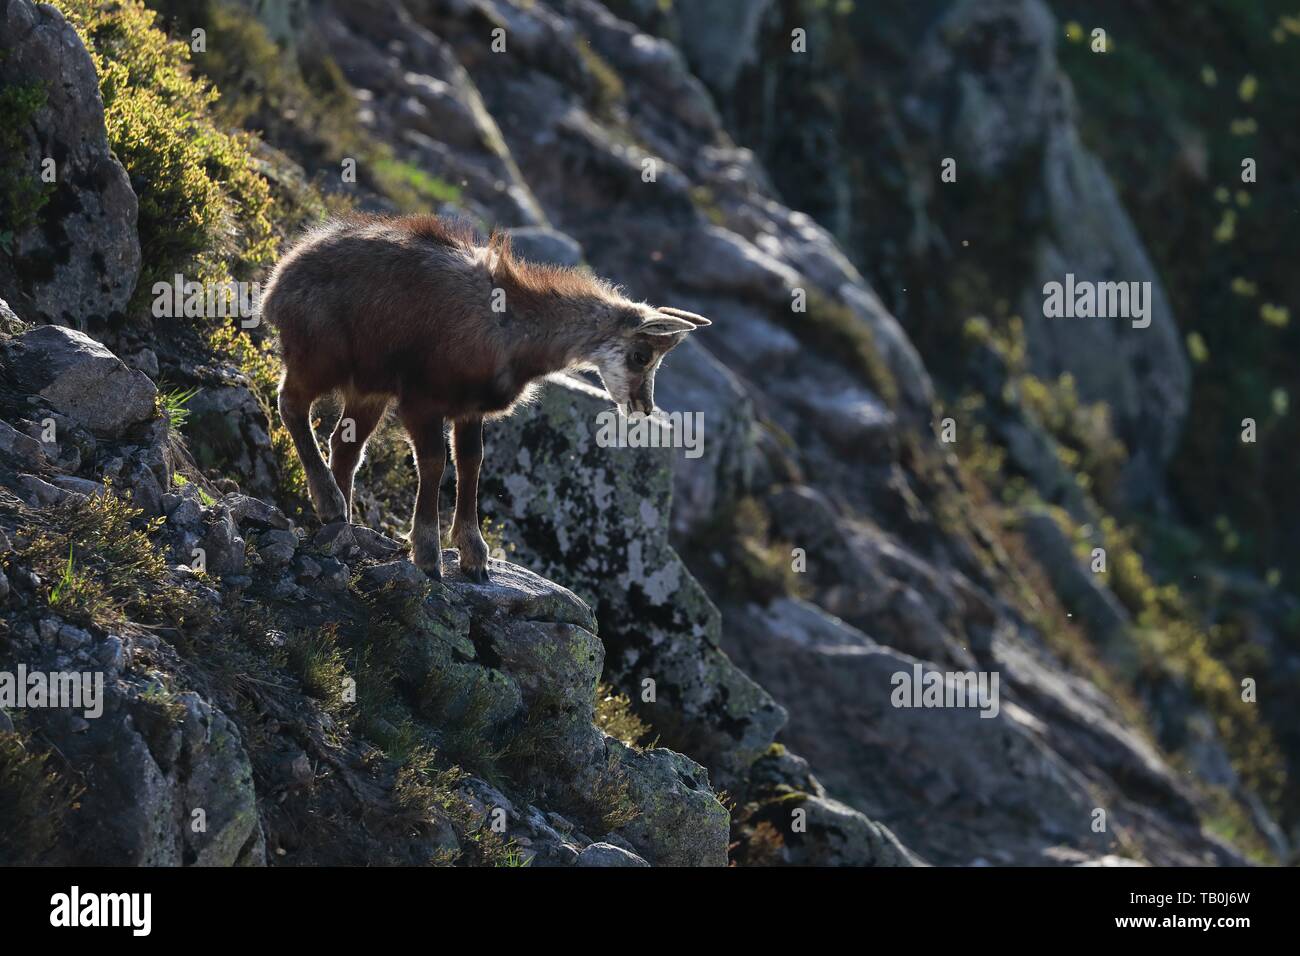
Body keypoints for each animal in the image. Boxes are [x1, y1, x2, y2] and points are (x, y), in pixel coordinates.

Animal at [259, 214, 711, 582]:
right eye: (641, 355)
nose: (643, 406)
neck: (514, 330)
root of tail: (276, 283)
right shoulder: (422, 400)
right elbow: (435, 463)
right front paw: (428, 553)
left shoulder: (469, 410)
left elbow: (471, 463)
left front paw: (473, 554)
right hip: (320, 356)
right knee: (291, 405)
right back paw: (329, 501)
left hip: (367, 388)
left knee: (345, 445)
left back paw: (341, 520)